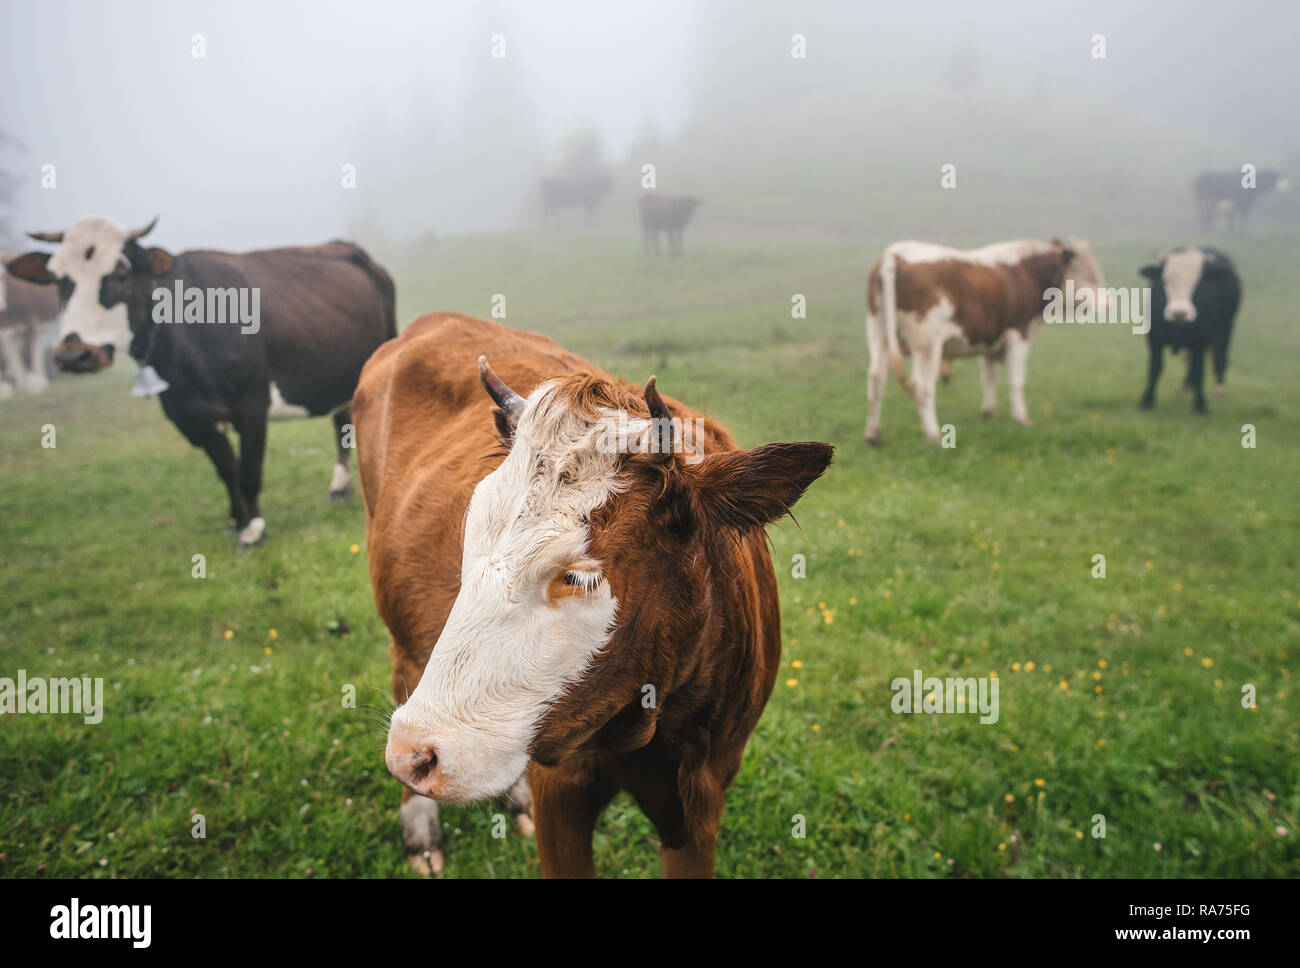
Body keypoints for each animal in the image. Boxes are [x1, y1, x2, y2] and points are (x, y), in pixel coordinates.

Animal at [0, 267, 60, 397]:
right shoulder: (5, 329)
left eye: (2, 277)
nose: (1, 305)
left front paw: (34, 385)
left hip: (40, 325)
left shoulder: (31, 321)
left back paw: (40, 380)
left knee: (35, 346)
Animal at [863, 237, 1107, 445]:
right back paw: (933, 436)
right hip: (927, 344)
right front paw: (1021, 418)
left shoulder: (989, 342)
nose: (1108, 304)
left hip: (878, 333)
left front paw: (990, 412)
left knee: (876, 380)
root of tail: (895, 255)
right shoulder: (1019, 335)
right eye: (1090, 273)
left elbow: (989, 377)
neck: (1025, 274)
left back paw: (873, 435)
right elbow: (1016, 381)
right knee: (922, 387)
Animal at [1138, 247, 1242, 415]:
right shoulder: (1154, 338)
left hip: (1226, 327)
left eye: (1199, 284)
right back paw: (1186, 386)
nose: (1179, 313)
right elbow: (1155, 368)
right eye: (1165, 281)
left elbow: (1200, 370)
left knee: (1219, 357)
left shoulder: (1200, 340)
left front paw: (1200, 406)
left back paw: (1219, 390)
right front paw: (1146, 401)